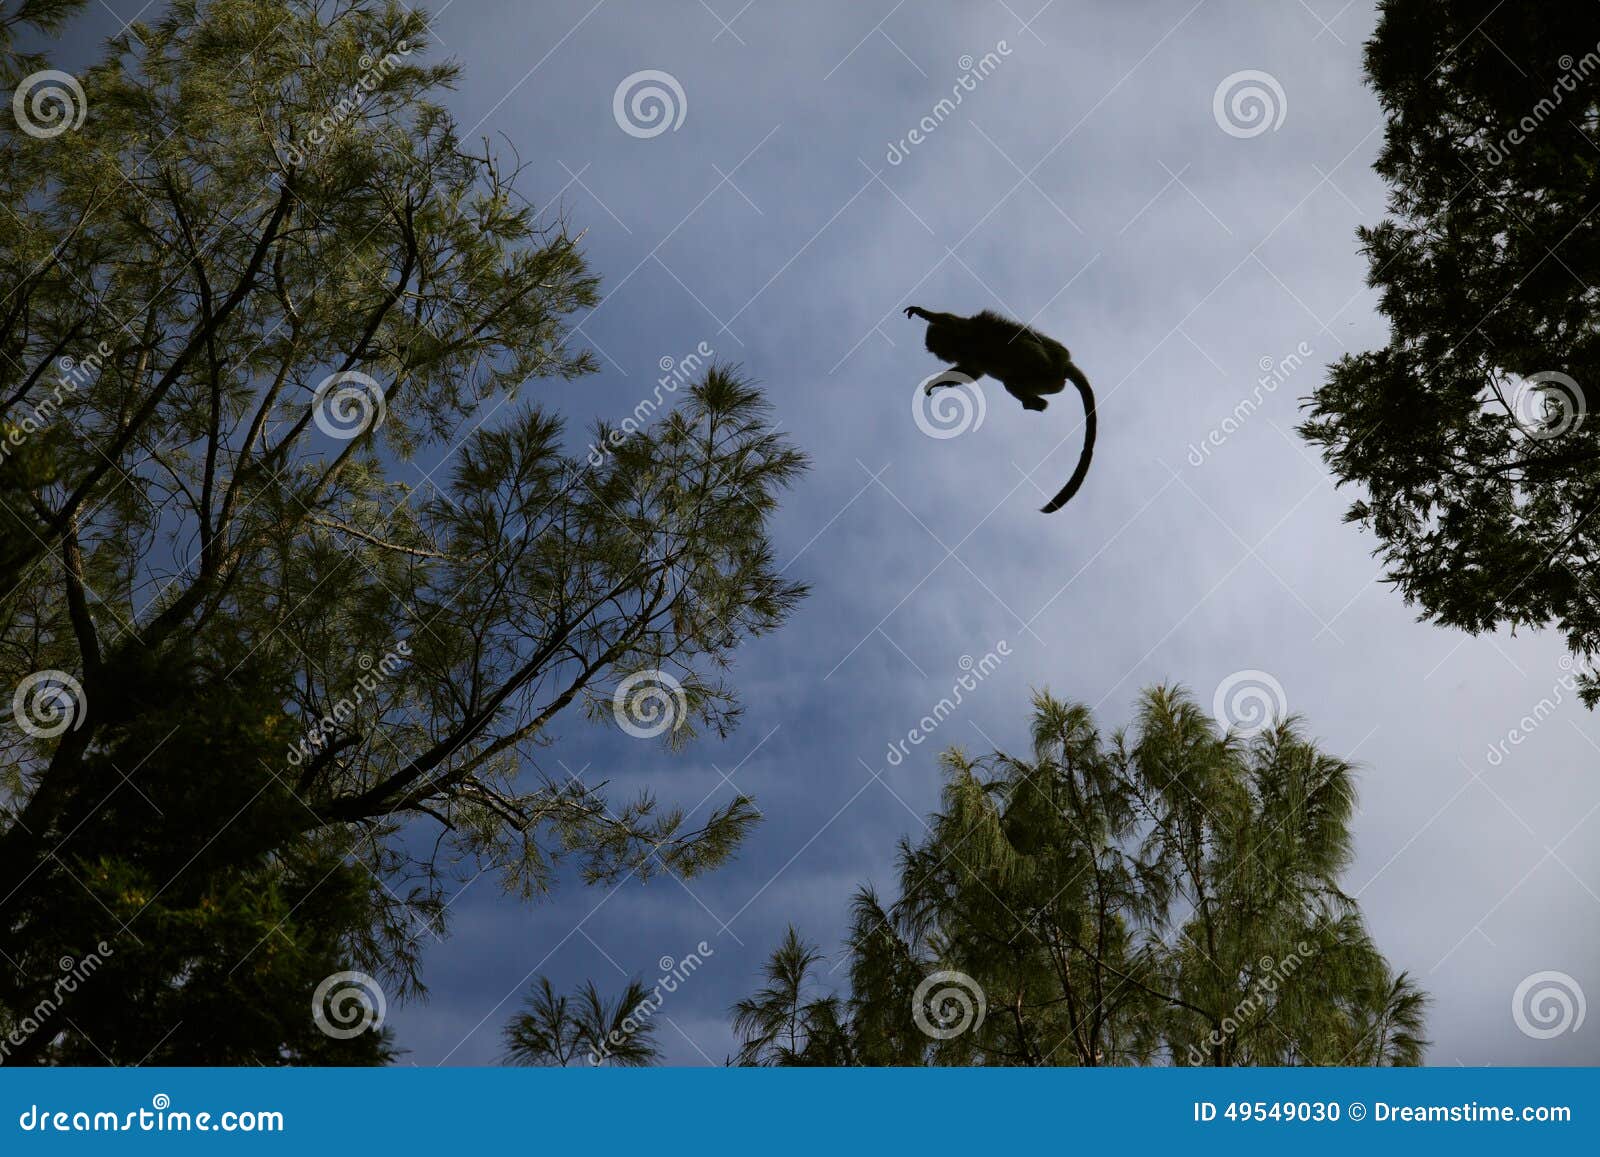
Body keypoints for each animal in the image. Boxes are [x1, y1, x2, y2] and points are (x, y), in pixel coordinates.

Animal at [904, 306, 1096, 513]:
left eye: (938, 347)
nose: (941, 355)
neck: (963, 344)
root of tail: (1065, 365)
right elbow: (970, 373)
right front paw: (935, 383)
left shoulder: (969, 329)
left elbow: (951, 321)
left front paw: (921, 312)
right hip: (1048, 382)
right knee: (1012, 382)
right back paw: (1034, 403)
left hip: (1047, 369)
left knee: (1018, 349)